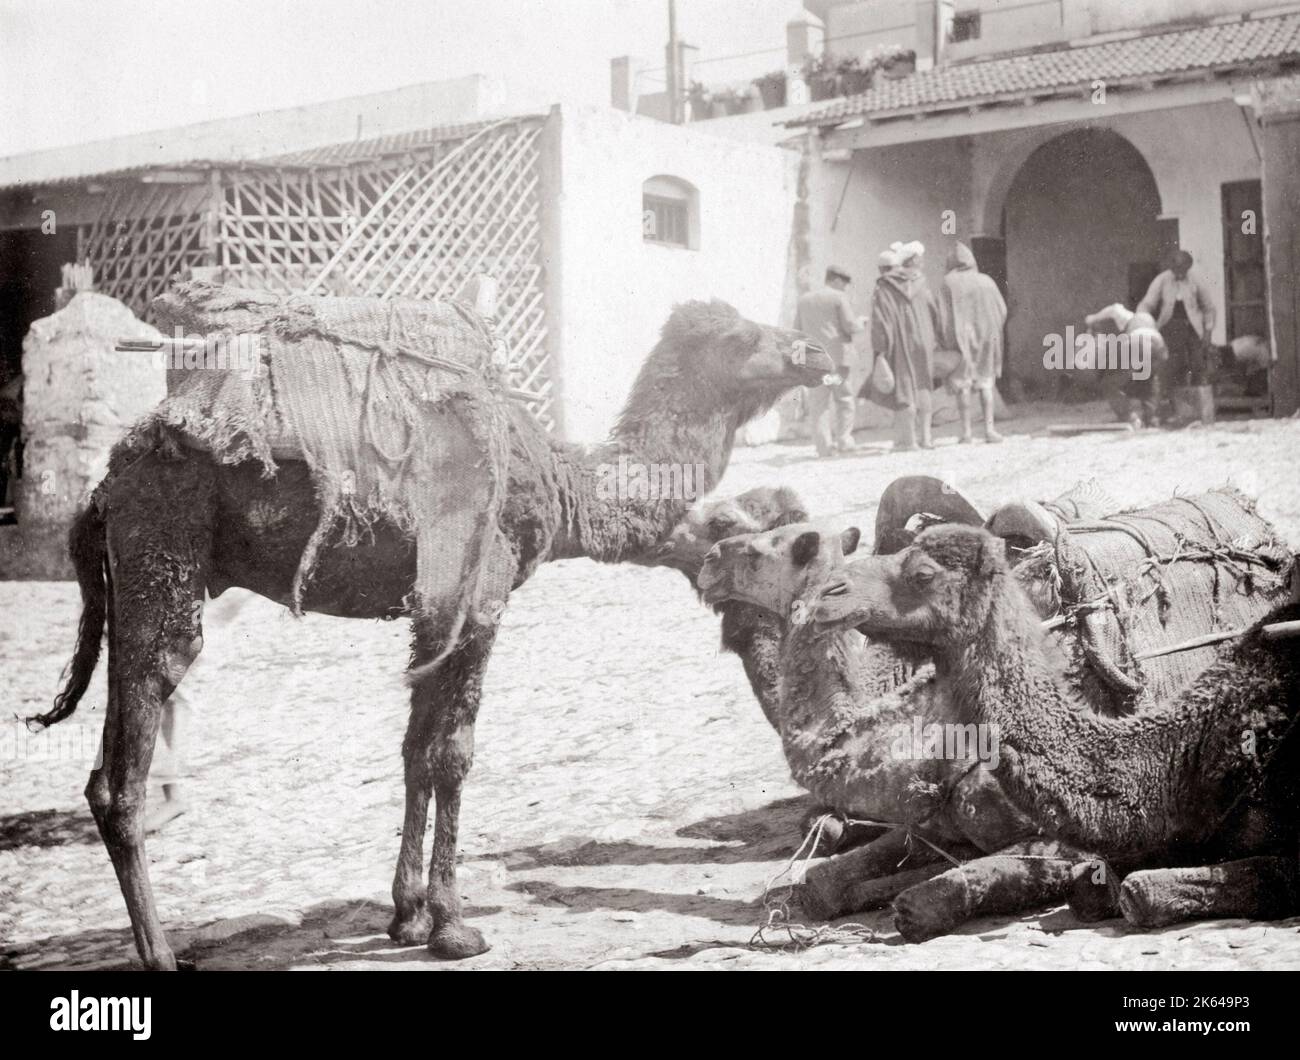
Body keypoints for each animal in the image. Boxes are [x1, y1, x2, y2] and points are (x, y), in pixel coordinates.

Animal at [38, 299, 834, 969]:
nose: (818, 349)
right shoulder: (480, 594)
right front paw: (454, 926)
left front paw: (407, 916)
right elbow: (453, 754)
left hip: (134, 579)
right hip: (163, 549)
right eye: (741, 338)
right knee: (127, 763)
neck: (560, 479)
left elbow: (414, 751)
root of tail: (105, 484)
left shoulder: (433, 610)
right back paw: (160, 955)